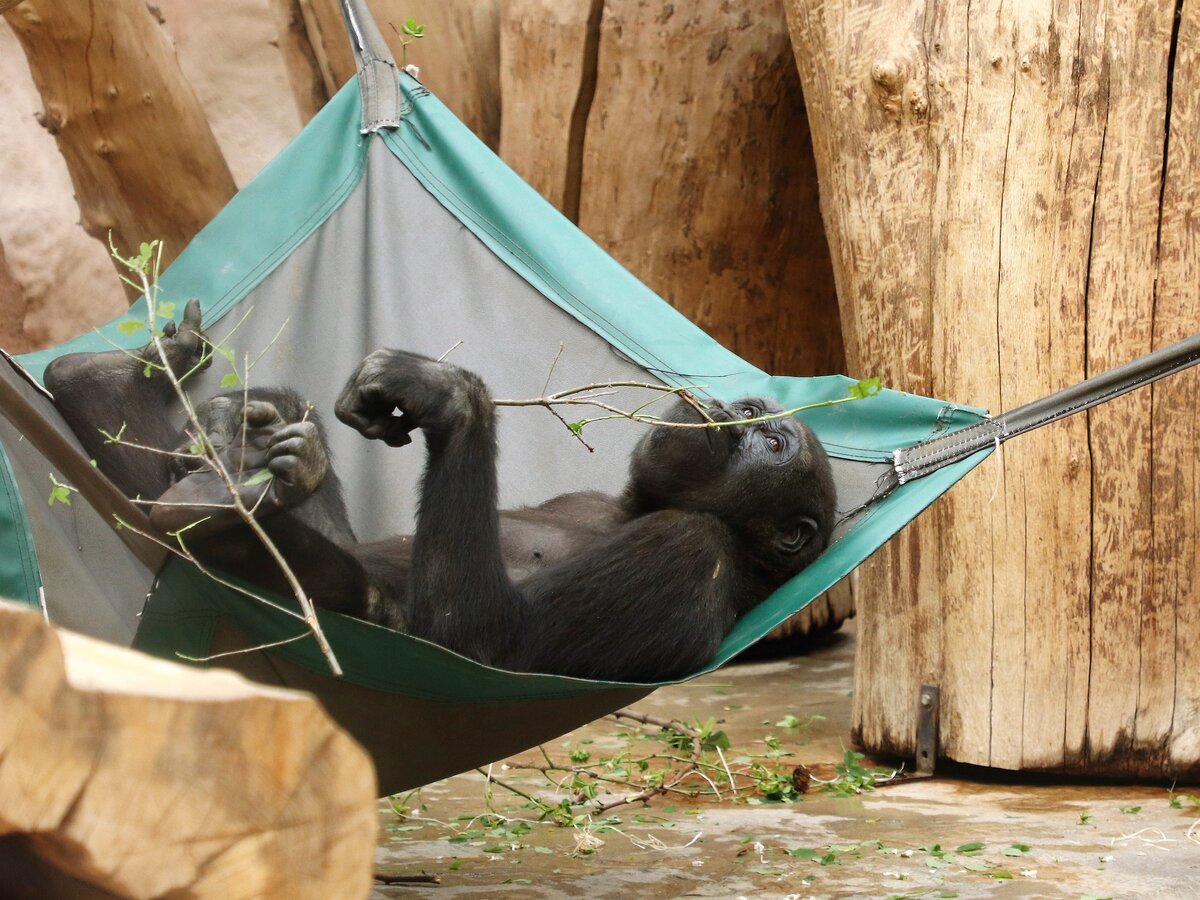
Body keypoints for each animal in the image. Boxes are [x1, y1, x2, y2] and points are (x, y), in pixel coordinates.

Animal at [46, 300, 835, 681]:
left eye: (772, 444)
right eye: (755, 413)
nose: (725, 411)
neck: (641, 507)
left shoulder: (691, 552)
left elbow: (486, 637)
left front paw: (447, 395)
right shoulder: (585, 497)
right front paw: (242, 427)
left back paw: (213, 499)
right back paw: (132, 392)